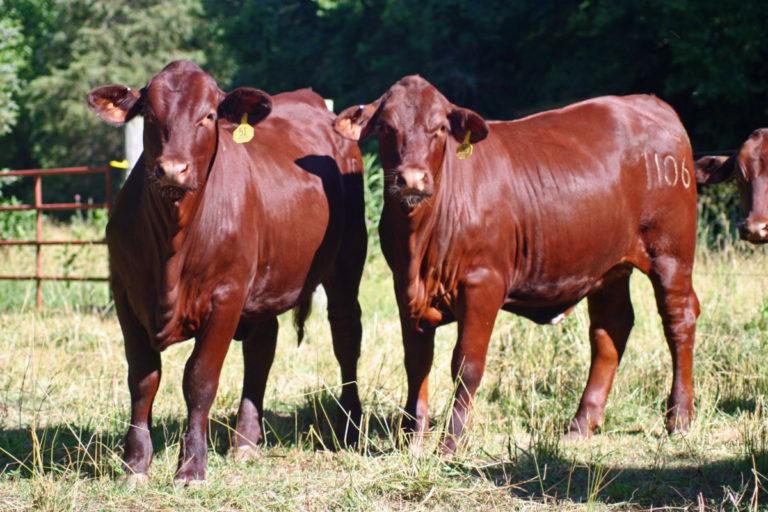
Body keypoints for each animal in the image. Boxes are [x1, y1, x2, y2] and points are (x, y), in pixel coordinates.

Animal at [86, 60, 366, 484]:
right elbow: (143, 378)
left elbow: (199, 378)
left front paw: (191, 467)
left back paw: (349, 424)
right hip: (264, 284)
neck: (173, 244)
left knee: (346, 334)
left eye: (208, 115)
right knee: (262, 349)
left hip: (347, 260)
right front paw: (134, 464)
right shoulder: (126, 295)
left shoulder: (226, 296)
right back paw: (246, 441)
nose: (172, 169)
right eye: (149, 114)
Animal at [334, 76, 699, 454]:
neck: (419, 245)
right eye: (386, 127)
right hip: (608, 266)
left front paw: (451, 443)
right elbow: (417, 361)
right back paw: (582, 423)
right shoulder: (405, 288)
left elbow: (466, 364)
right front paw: (412, 437)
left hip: (671, 252)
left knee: (679, 319)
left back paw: (679, 418)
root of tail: (649, 102)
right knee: (611, 329)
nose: (411, 179)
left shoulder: (483, 283)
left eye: (439, 128)